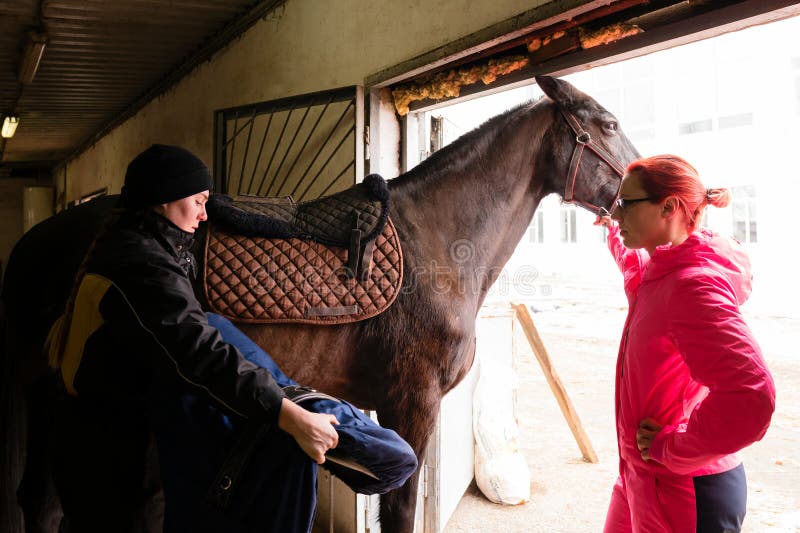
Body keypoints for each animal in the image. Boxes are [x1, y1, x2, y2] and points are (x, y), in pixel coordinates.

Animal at [0, 75, 639, 533]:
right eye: (607, 124)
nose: (645, 179)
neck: (435, 240)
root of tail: (38, 239)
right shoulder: (413, 404)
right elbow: (400, 512)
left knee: (44, 500)